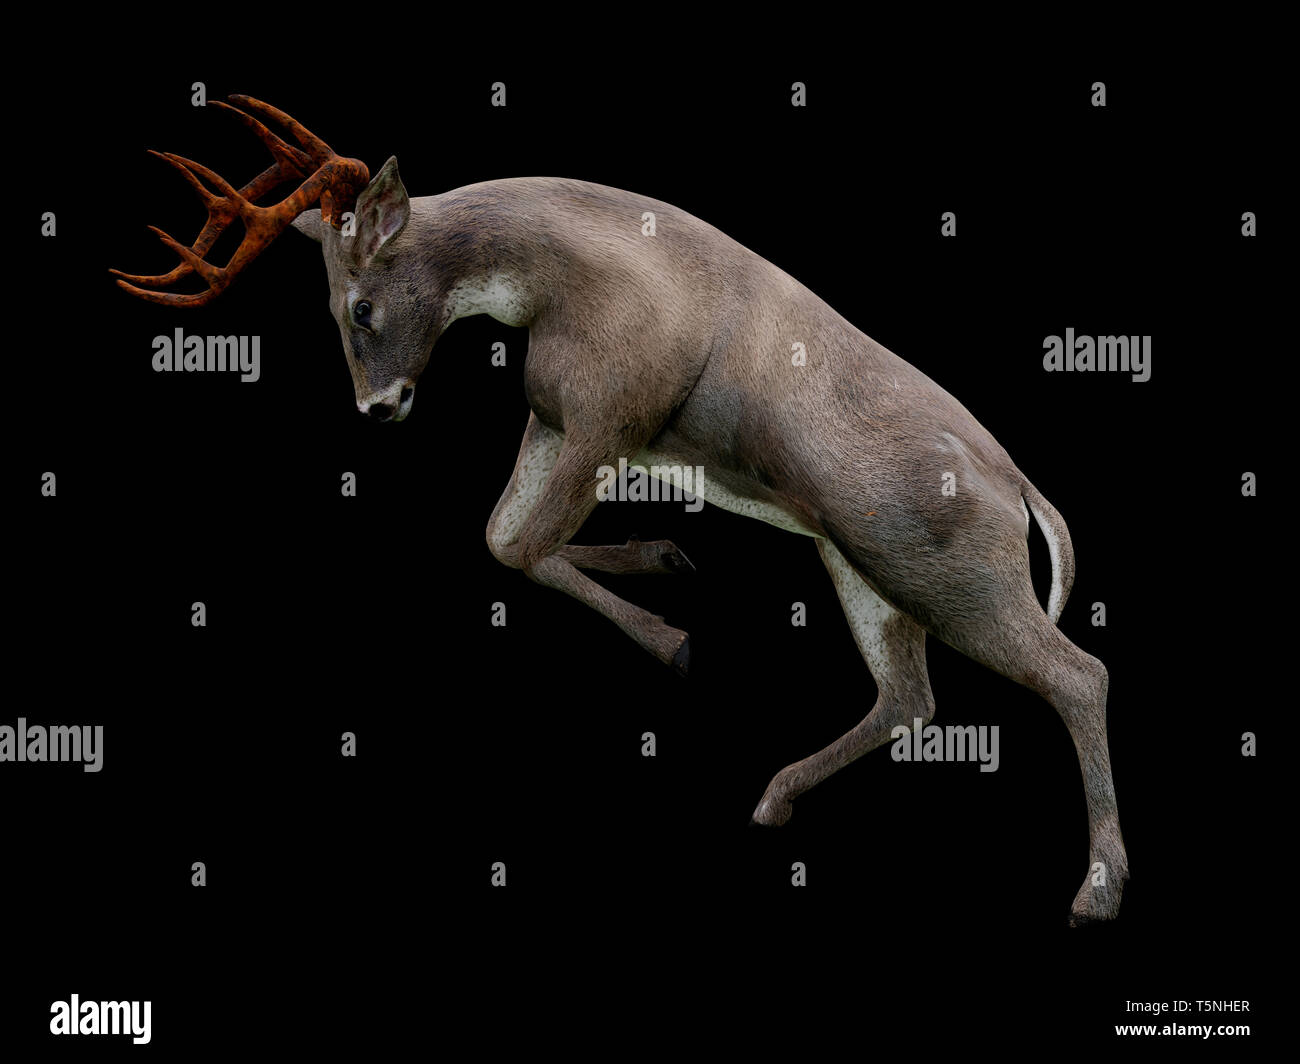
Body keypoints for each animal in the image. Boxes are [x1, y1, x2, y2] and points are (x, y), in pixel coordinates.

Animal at [113, 96, 1128, 925]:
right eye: (330, 309)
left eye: (359, 307)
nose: (379, 409)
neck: (557, 280)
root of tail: (1021, 490)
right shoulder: (556, 413)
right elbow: (500, 536)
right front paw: (667, 559)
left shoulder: (613, 414)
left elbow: (525, 544)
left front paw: (673, 641)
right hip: (862, 568)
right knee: (911, 699)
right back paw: (771, 797)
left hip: (952, 575)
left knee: (1077, 672)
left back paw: (1097, 892)